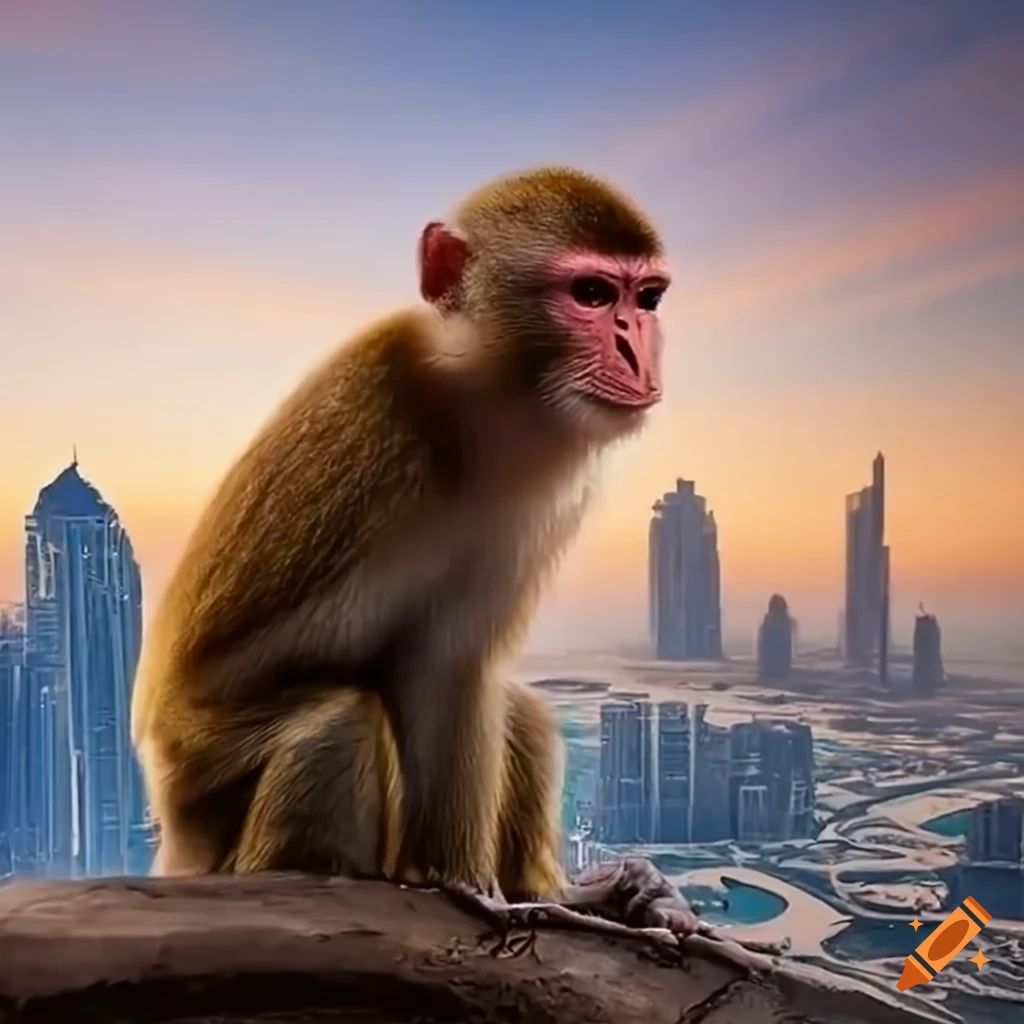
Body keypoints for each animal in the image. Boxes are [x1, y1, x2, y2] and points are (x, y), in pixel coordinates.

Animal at [130, 165, 771, 974]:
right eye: (593, 294)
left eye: (646, 298)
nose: (639, 349)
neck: (481, 394)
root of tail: (176, 848)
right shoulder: (377, 418)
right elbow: (419, 667)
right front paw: (464, 890)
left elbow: (452, 662)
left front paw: (526, 894)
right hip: (209, 826)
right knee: (341, 718)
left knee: (510, 708)